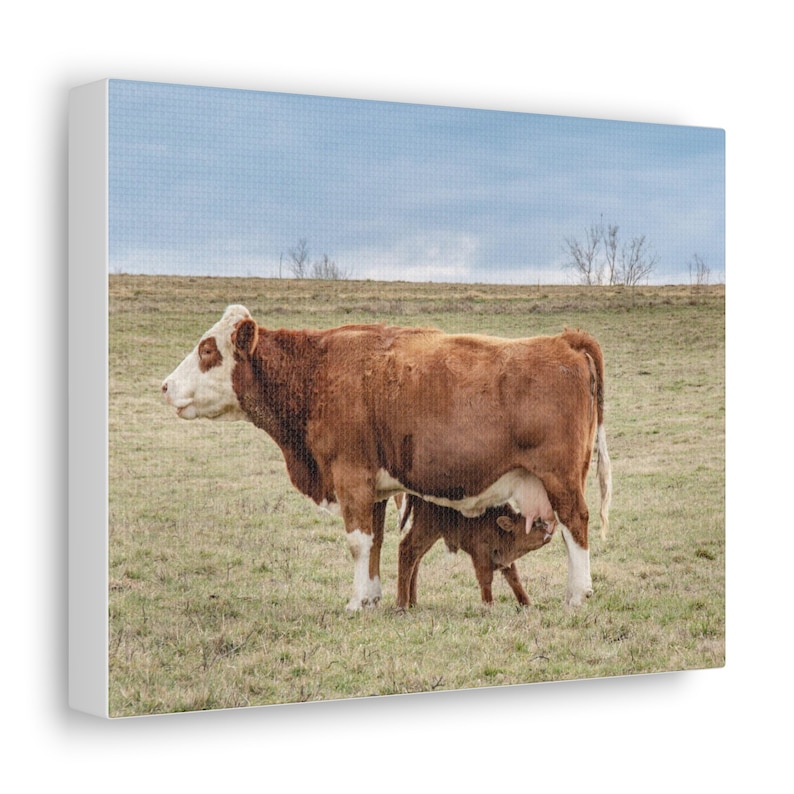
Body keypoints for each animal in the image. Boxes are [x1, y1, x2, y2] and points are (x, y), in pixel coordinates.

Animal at [396, 494, 553, 608]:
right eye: (532, 524)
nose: (548, 533)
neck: (499, 526)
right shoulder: (480, 553)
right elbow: (486, 578)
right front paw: (489, 605)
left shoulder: (503, 558)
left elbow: (514, 578)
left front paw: (527, 604)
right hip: (426, 529)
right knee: (406, 550)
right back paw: (402, 605)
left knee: (416, 559)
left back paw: (413, 602)